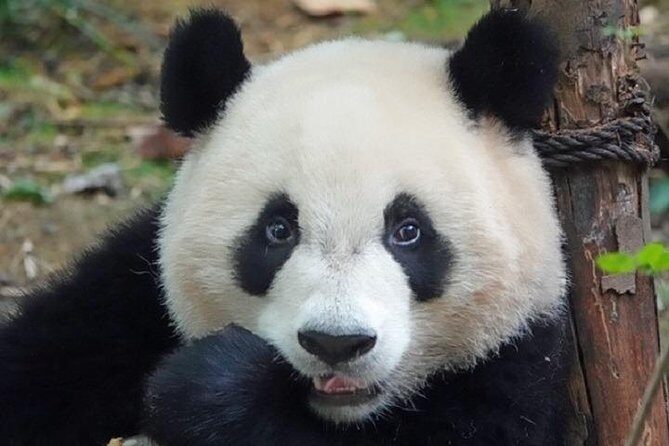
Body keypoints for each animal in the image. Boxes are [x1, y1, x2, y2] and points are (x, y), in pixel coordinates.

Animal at [0, 7, 568, 446]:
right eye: (278, 230)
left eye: (408, 231)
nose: (336, 343)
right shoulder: (126, 293)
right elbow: (47, 359)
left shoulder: (518, 368)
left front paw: (209, 387)